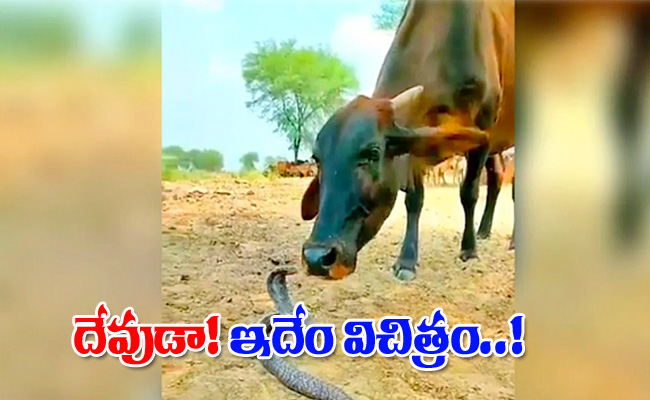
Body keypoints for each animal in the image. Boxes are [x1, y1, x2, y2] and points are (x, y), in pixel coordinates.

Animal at [301, 0, 514, 280]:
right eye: (317, 159)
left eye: (373, 153)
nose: (316, 257)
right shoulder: (414, 146)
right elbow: (414, 199)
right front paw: (406, 260)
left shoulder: (484, 127)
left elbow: (468, 192)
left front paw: (468, 250)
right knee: (498, 177)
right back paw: (484, 230)